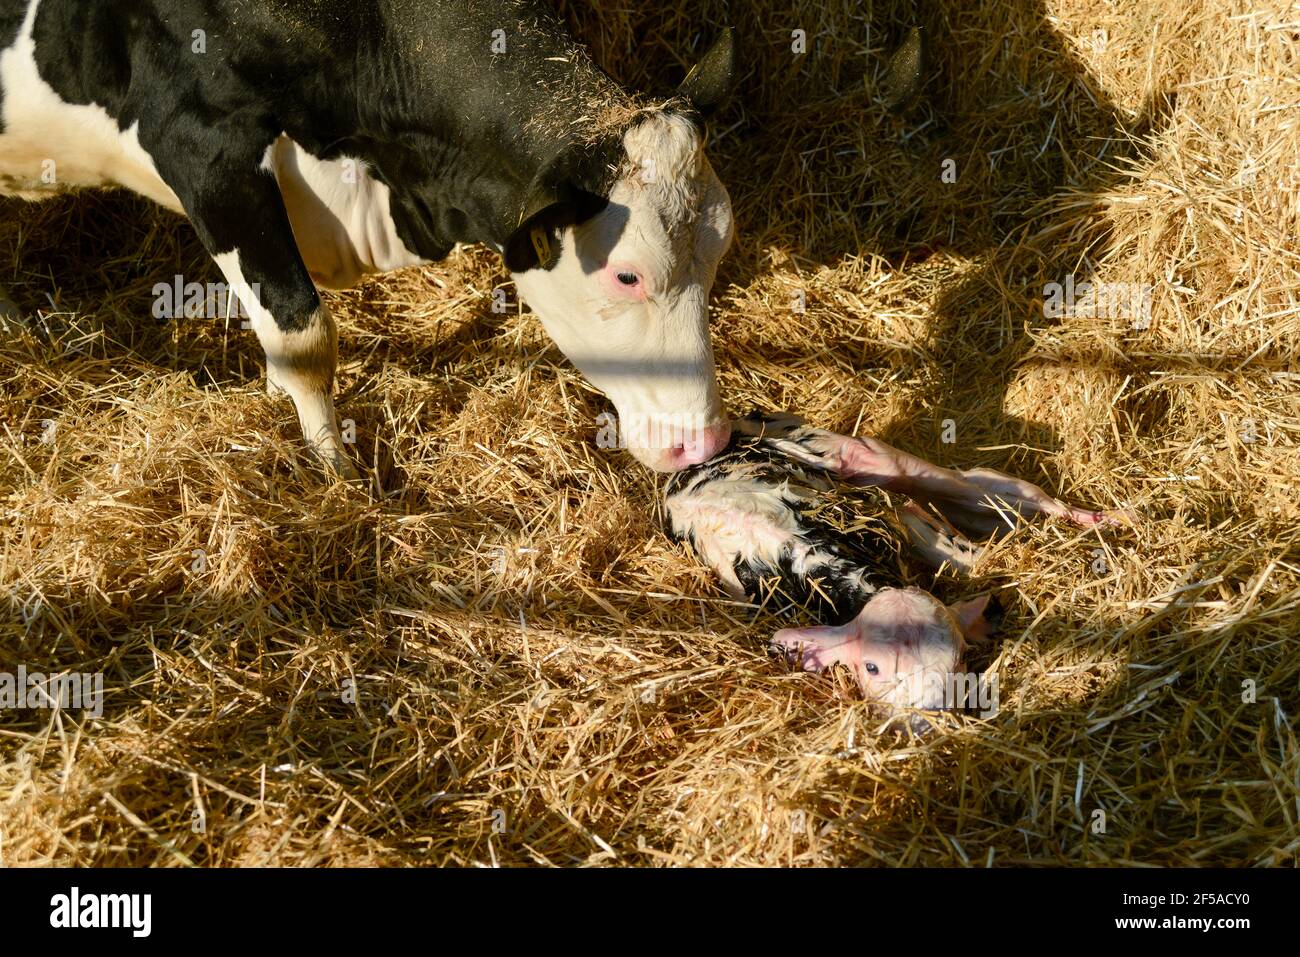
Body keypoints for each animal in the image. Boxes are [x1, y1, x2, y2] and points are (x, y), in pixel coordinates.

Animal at [0, 0, 739, 477]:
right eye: (626, 275)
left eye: (721, 247)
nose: (705, 443)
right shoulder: (200, 144)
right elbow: (304, 333)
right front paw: (336, 470)